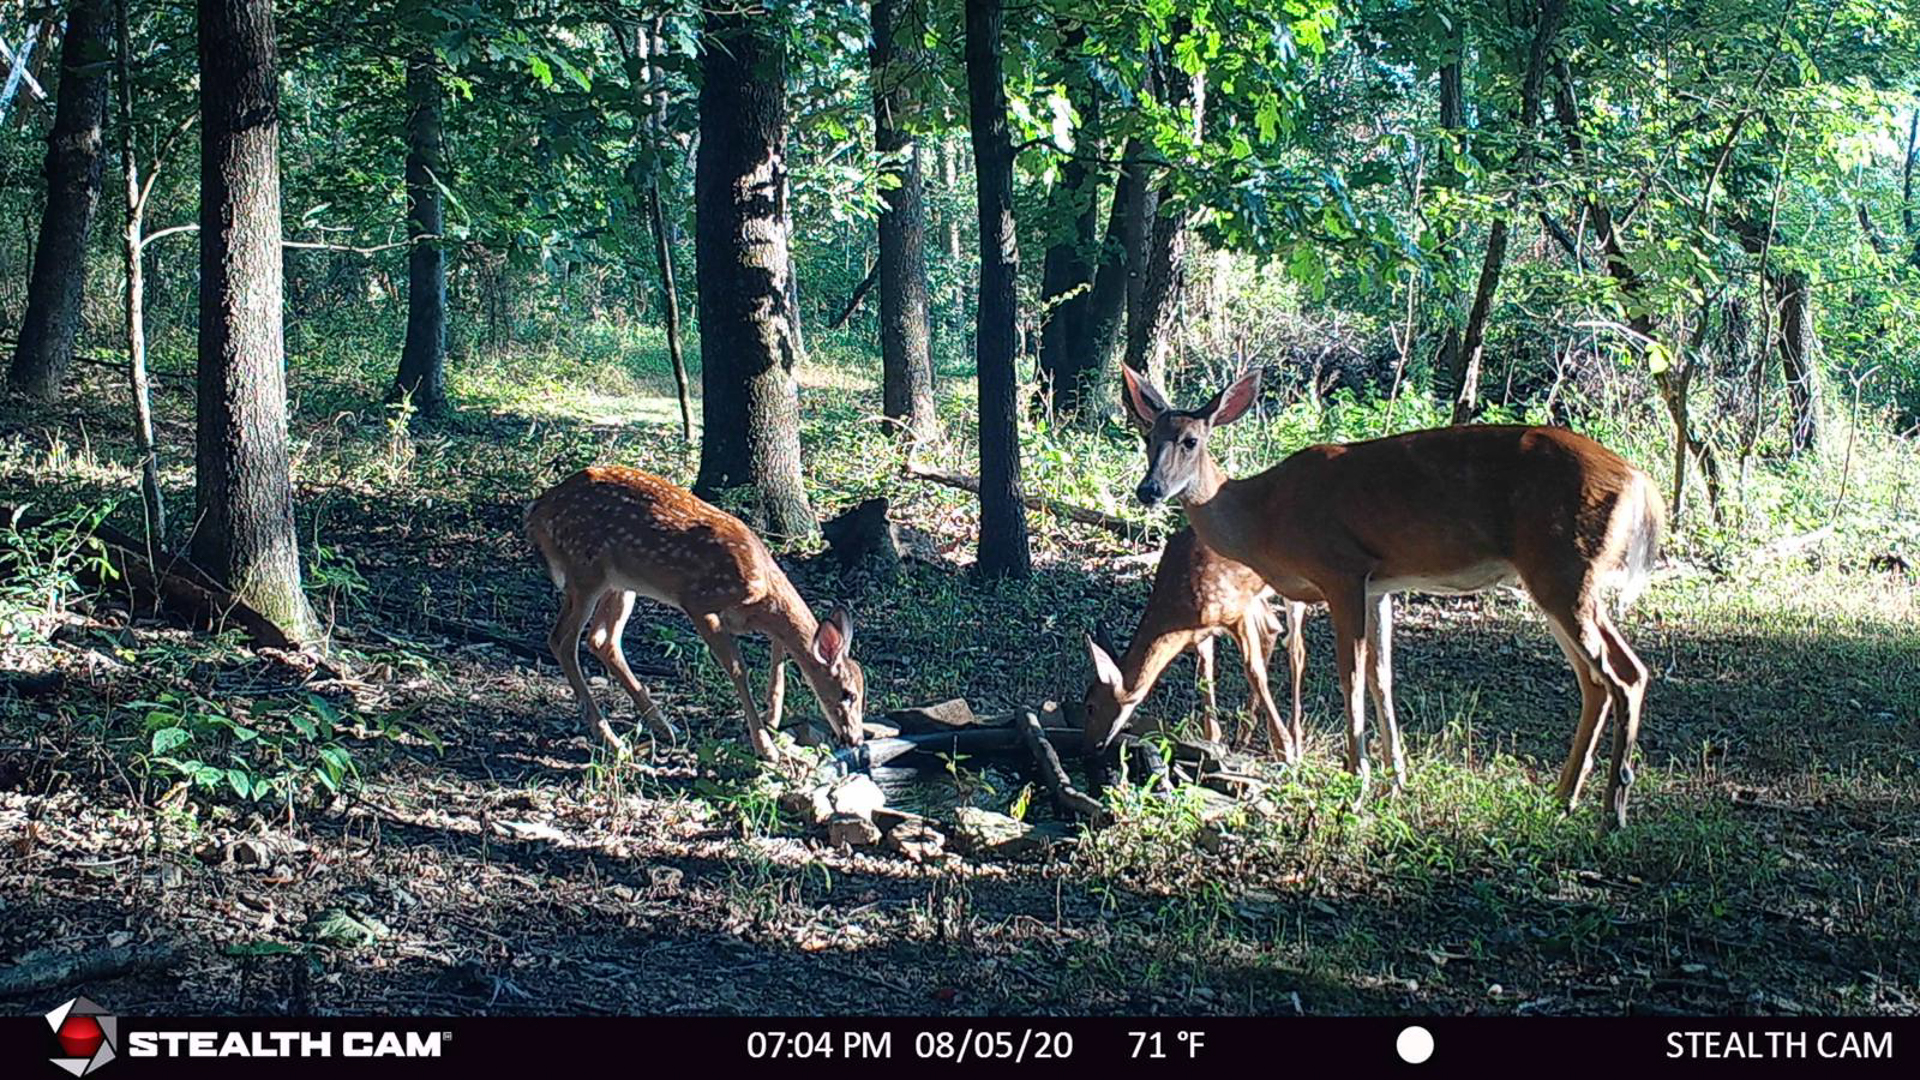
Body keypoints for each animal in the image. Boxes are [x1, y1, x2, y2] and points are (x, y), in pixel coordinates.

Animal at [525, 465, 865, 760]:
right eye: (847, 693)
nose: (855, 739)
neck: (761, 593)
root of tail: (537, 510)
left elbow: (779, 648)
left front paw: (773, 716)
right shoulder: (699, 602)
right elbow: (738, 669)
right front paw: (766, 747)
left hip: (622, 583)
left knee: (601, 640)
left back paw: (664, 727)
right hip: (585, 570)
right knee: (562, 640)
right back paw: (612, 740)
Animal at [1082, 526, 1311, 761]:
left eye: (1090, 707)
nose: (1089, 746)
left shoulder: (1237, 612)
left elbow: (1254, 671)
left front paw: (1285, 749)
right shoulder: (1202, 631)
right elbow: (1204, 672)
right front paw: (1212, 740)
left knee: (1295, 649)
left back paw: (1294, 739)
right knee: (1273, 628)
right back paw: (1244, 734)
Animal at [1118, 364, 1664, 829]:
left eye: (1190, 440)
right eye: (1147, 439)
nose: (1149, 489)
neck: (1264, 515)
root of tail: (1643, 485)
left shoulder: (1342, 570)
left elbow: (1351, 676)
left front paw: (1356, 784)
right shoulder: (1380, 585)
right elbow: (1382, 676)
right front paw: (1396, 780)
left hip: (1564, 569)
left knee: (1625, 674)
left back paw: (1613, 809)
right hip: (1561, 579)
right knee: (1599, 678)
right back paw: (1563, 797)